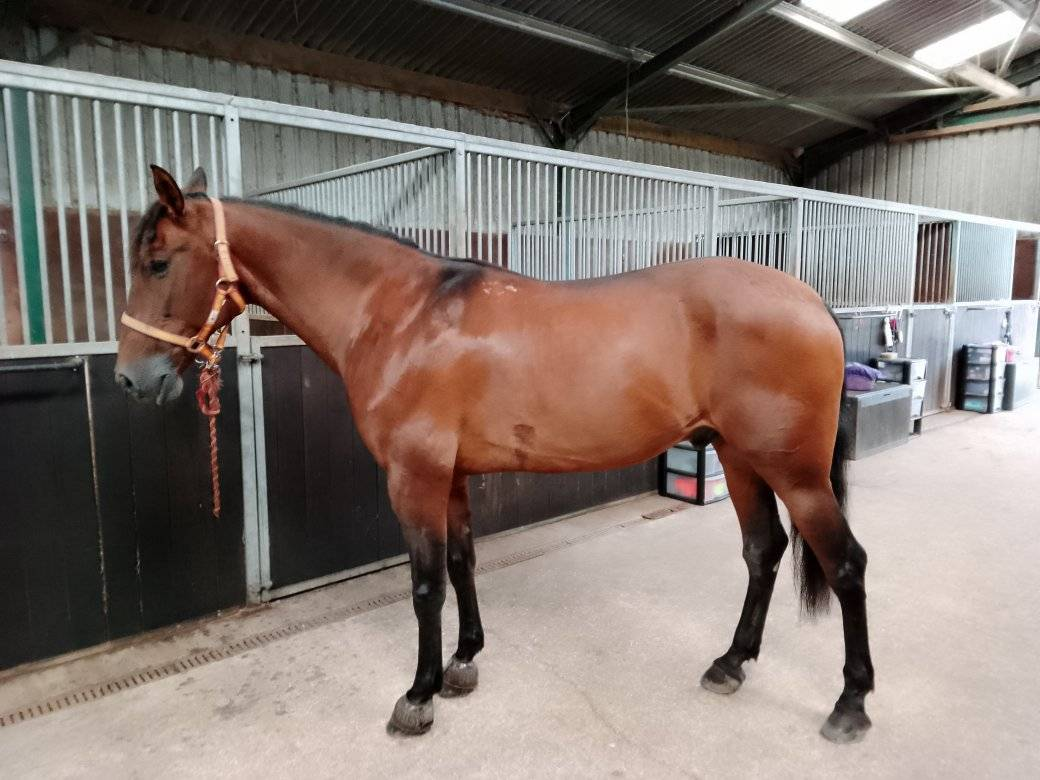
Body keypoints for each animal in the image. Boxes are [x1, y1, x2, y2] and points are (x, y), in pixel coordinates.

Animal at [115, 165, 874, 743]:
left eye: (159, 263)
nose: (130, 380)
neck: (402, 316)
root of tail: (811, 300)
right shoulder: (449, 476)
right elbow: (461, 564)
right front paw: (463, 663)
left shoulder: (414, 478)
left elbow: (425, 584)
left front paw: (418, 694)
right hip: (740, 459)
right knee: (763, 551)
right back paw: (731, 662)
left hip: (796, 472)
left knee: (844, 565)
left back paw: (850, 704)